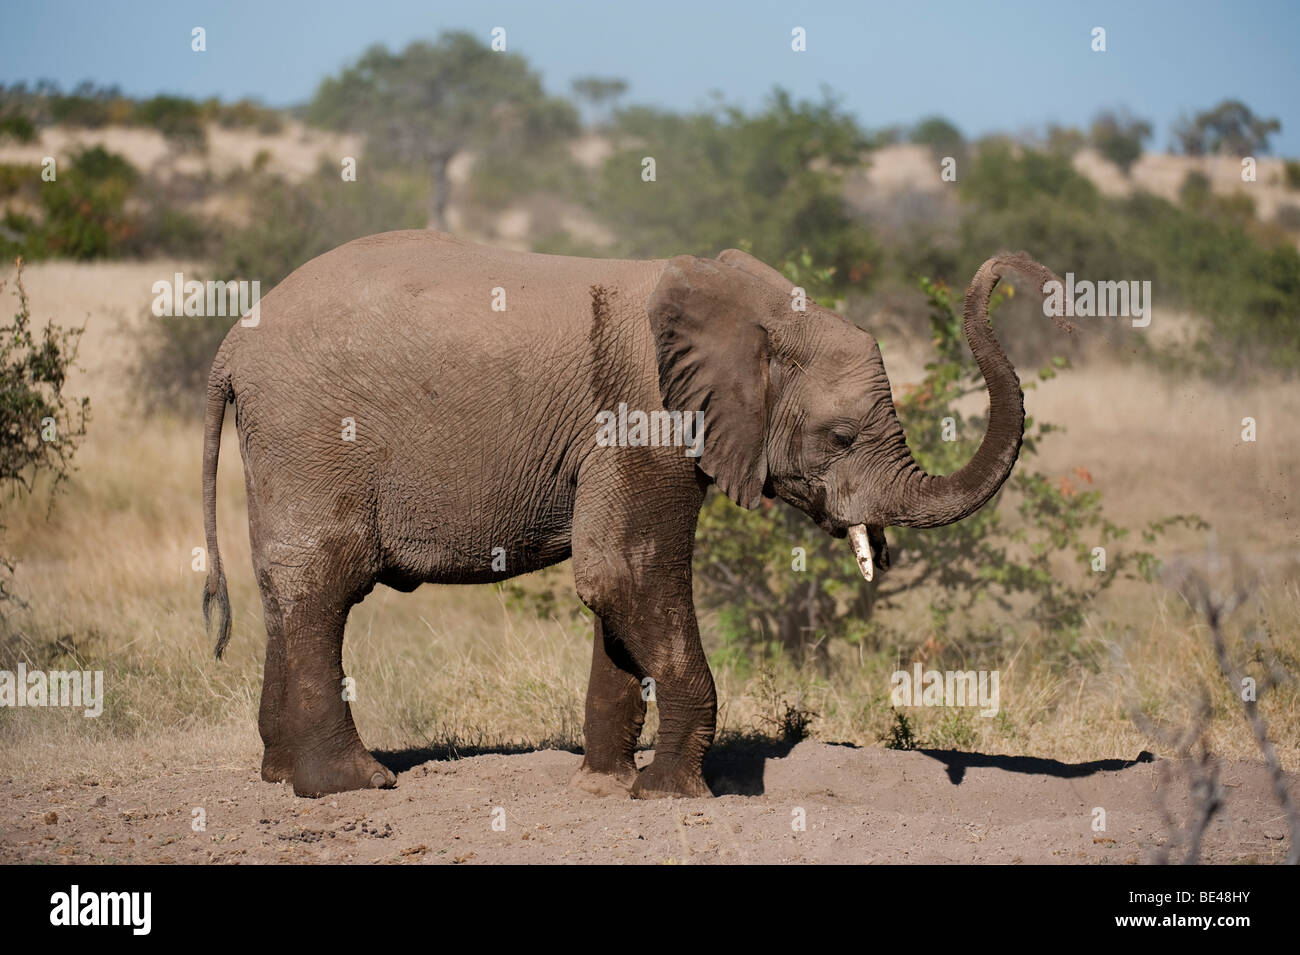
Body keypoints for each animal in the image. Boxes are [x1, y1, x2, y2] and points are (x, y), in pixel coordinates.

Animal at [201, 230, 1059, 798]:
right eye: (841, 437)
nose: (1028, 271)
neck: (749, 306)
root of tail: (231, 345)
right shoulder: (640, 415)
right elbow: (626, 573)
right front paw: (674, 792)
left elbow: (616, 590)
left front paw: (608, 781)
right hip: (313, 428)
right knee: (324, 581)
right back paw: (352, 784)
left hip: (284, 441)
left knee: (285, 587)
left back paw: (279, 774)